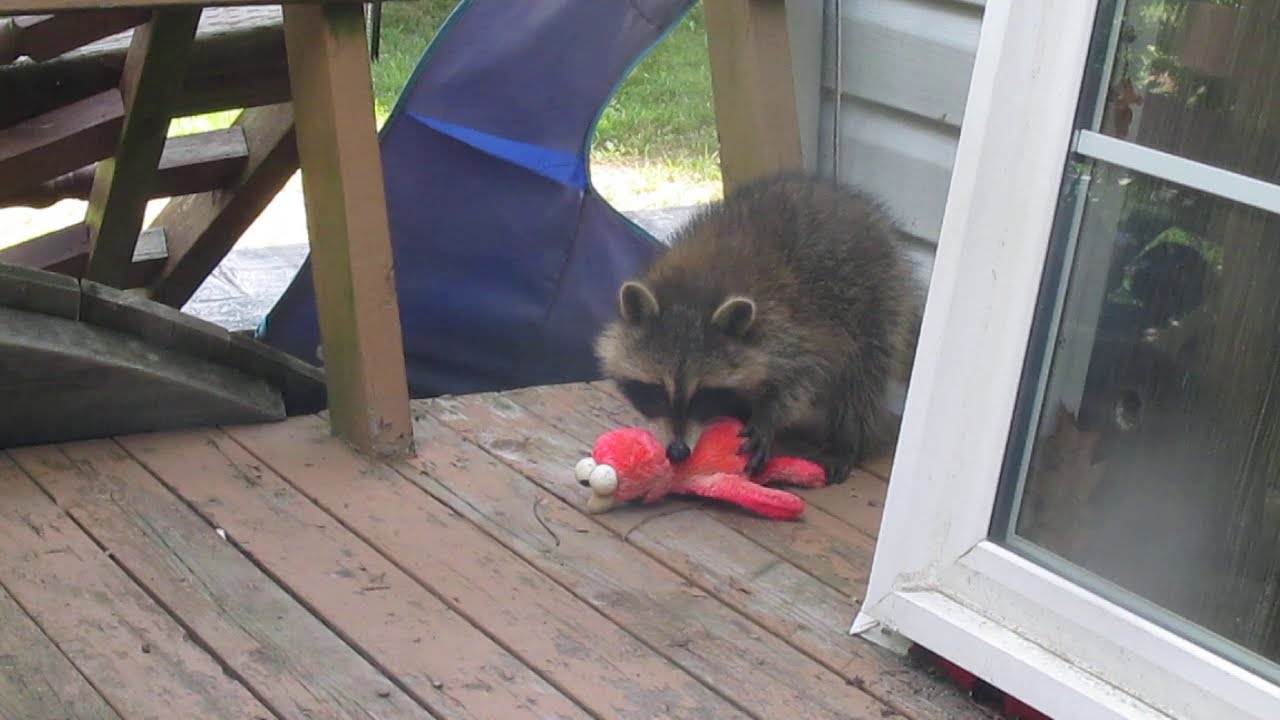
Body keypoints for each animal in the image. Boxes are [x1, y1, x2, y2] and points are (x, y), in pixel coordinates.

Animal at [593, 172, 920, 484]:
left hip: (876, 297)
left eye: (703, 394)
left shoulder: (790, 323)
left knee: (862, 377)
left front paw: (767, 416)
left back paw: (847, 440)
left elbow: (804, 374)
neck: (693, 291)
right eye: (658, 390)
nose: (678, 451)